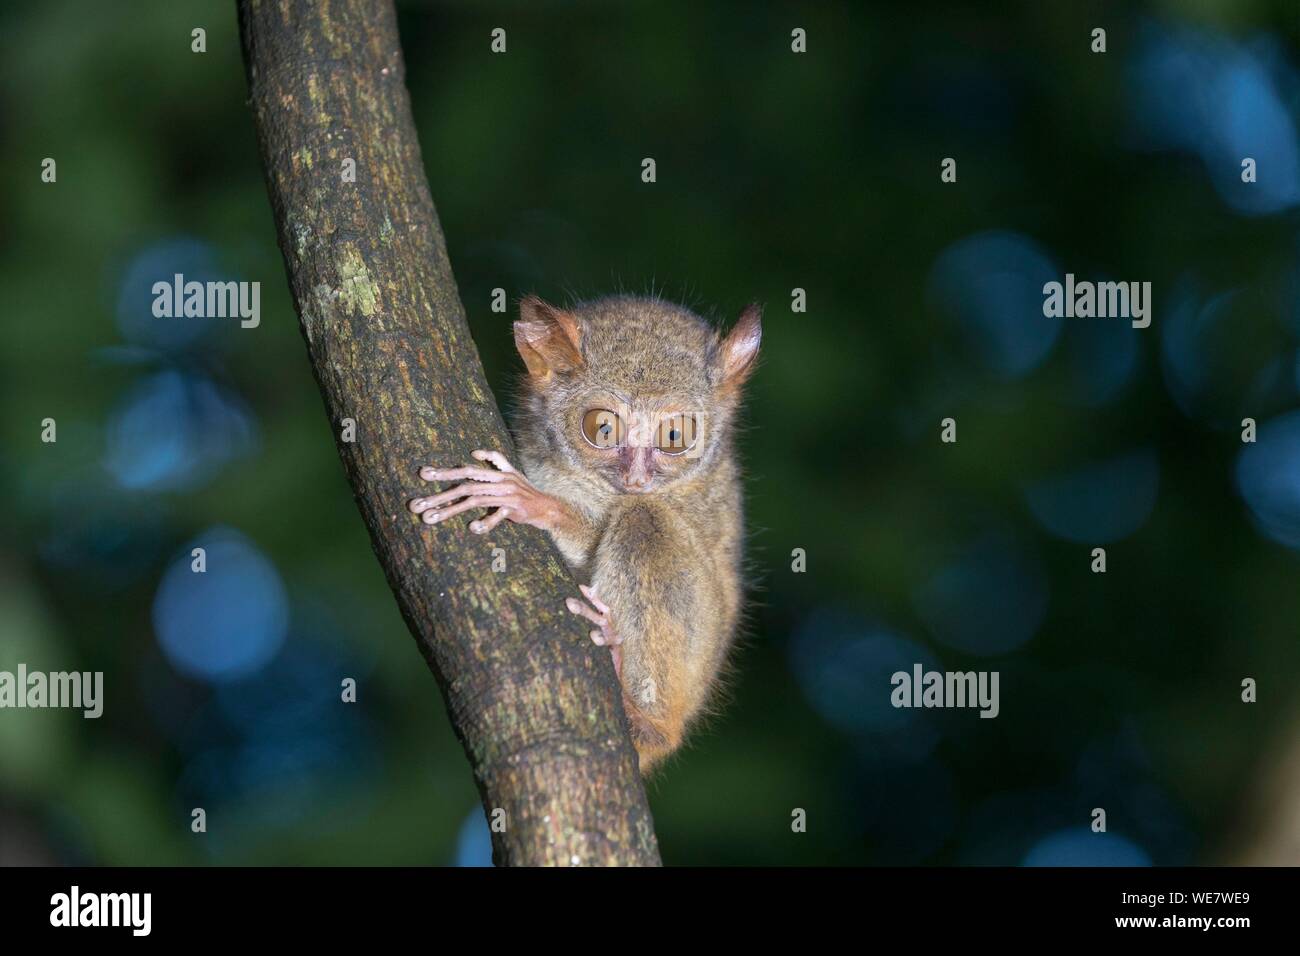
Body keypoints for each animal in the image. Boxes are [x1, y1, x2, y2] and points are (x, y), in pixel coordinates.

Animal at [408, 294, 760, 773]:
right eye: (603, 428)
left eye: (674, 435)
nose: (636, 479)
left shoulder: (694, 500)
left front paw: (528, 500)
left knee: (643, 520)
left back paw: (640, 705)